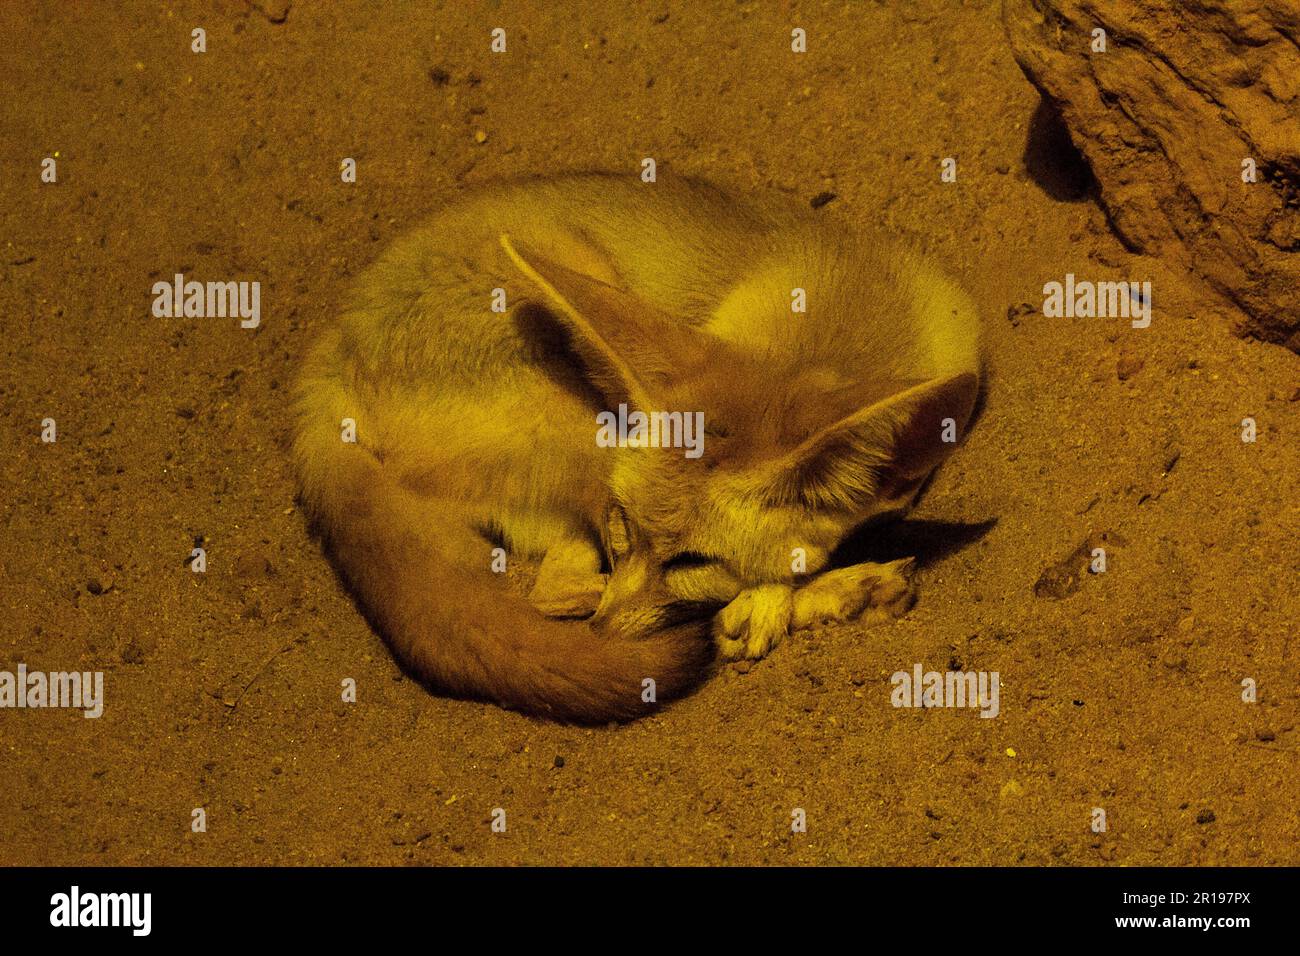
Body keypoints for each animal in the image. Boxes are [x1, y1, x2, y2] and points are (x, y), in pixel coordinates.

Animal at [292, 172, 981, 723]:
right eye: (623, 524)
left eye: (692, 561)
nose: (605, 635)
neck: (840, 320)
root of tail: (325, 361)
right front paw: (776, 599)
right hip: (584, 399)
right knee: (557, 596)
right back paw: (847, 589)